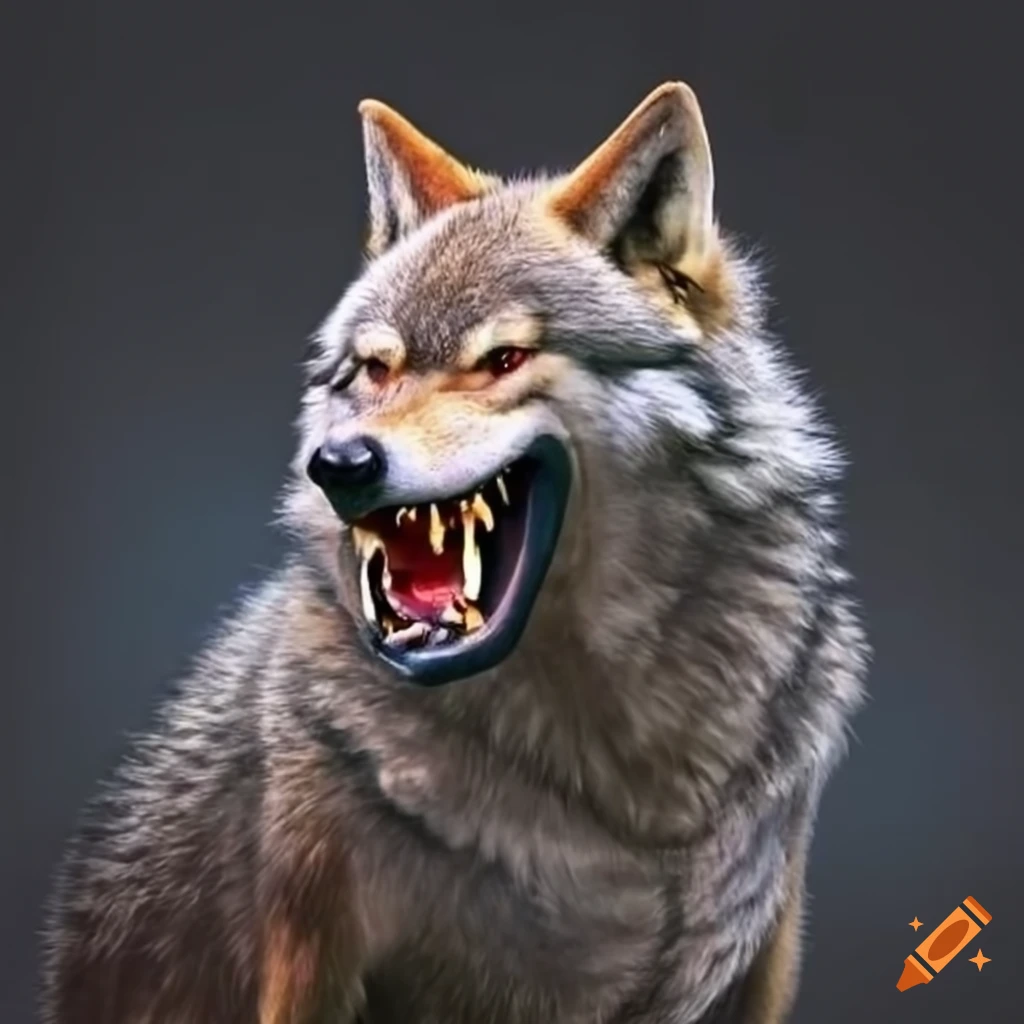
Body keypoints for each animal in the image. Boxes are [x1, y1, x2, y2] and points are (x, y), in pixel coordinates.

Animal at [41, 82, 868, 1023]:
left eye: (502, 359)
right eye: (374, 369)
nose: (339, 462)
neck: (616, 788)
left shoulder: (767, 939)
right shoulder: (311, 939)